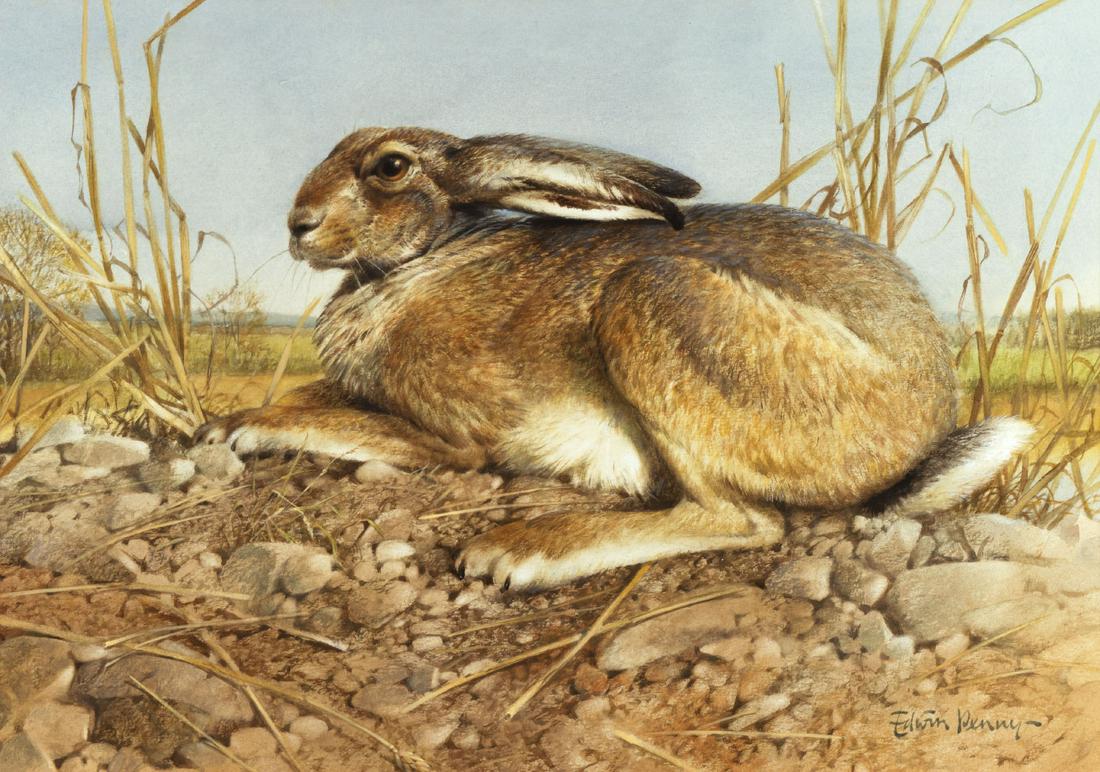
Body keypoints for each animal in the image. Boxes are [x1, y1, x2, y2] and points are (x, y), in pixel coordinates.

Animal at [196, 126, 1034, 590]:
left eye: (389, 167)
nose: (298, 225)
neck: (423, 261)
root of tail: (918, 439)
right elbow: (310, 397)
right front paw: (230, 420)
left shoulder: (452, 437)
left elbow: (349, 425)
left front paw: (244, 429)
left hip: (655, 306)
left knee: (740, 519)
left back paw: (519, 552)